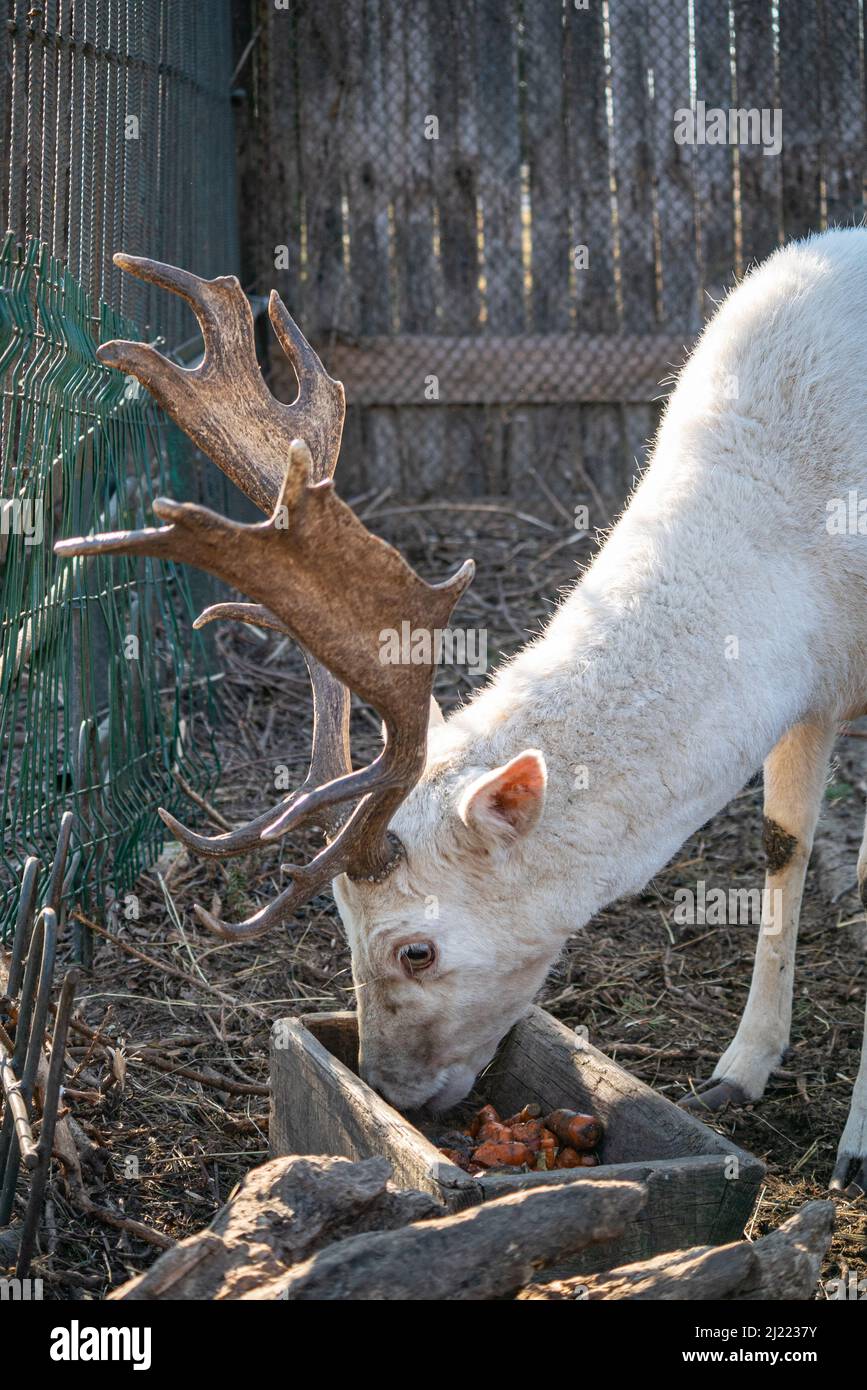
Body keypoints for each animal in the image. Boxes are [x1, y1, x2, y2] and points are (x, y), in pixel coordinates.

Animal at [57, 228, 867, 1193]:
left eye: (417, 949)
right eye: (339, 922)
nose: (390, 1092)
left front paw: (855, 1147)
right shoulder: (807, 695)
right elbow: (782, 847)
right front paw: (737, 1073)